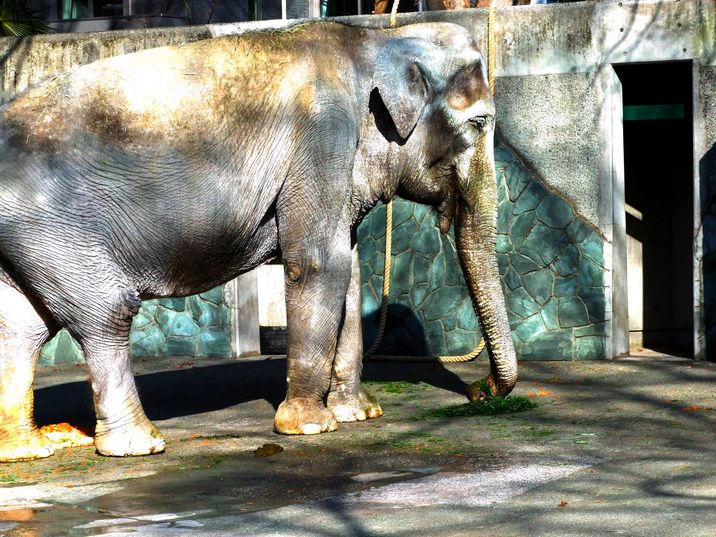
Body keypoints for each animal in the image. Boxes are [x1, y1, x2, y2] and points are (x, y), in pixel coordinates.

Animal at [0, 20, 517, 462]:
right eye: (478, 124)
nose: (481, 391)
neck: (378, 40)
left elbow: (349, 275)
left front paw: (360, 413)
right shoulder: (321, 137)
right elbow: (319, 264)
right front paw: (311, 426)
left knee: (22, 327)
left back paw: (29, 448)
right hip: (57, 230)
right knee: (104, 315)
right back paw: (140, 445)